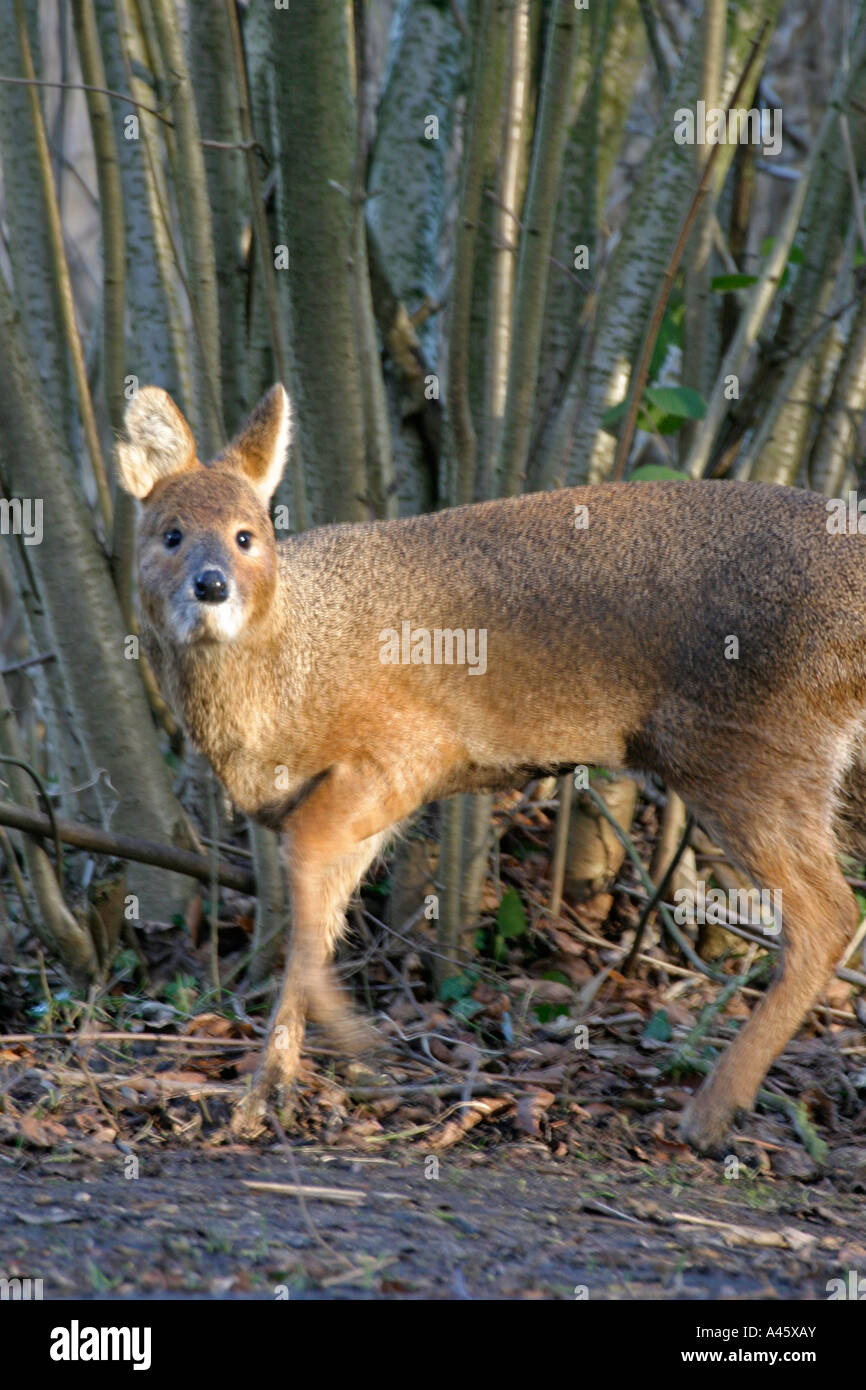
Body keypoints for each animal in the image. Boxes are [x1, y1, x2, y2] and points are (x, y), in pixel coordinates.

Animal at [117, 381, 866, 1151]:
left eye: (247, 534)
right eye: (172, 533)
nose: (211, 585)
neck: (281, 697)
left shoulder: (409, 748)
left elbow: (304, 885)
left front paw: (351, 1052)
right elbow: (315, 923)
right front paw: (265, 1097)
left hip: (755, 752)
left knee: (829, 917)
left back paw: (708, 1113)